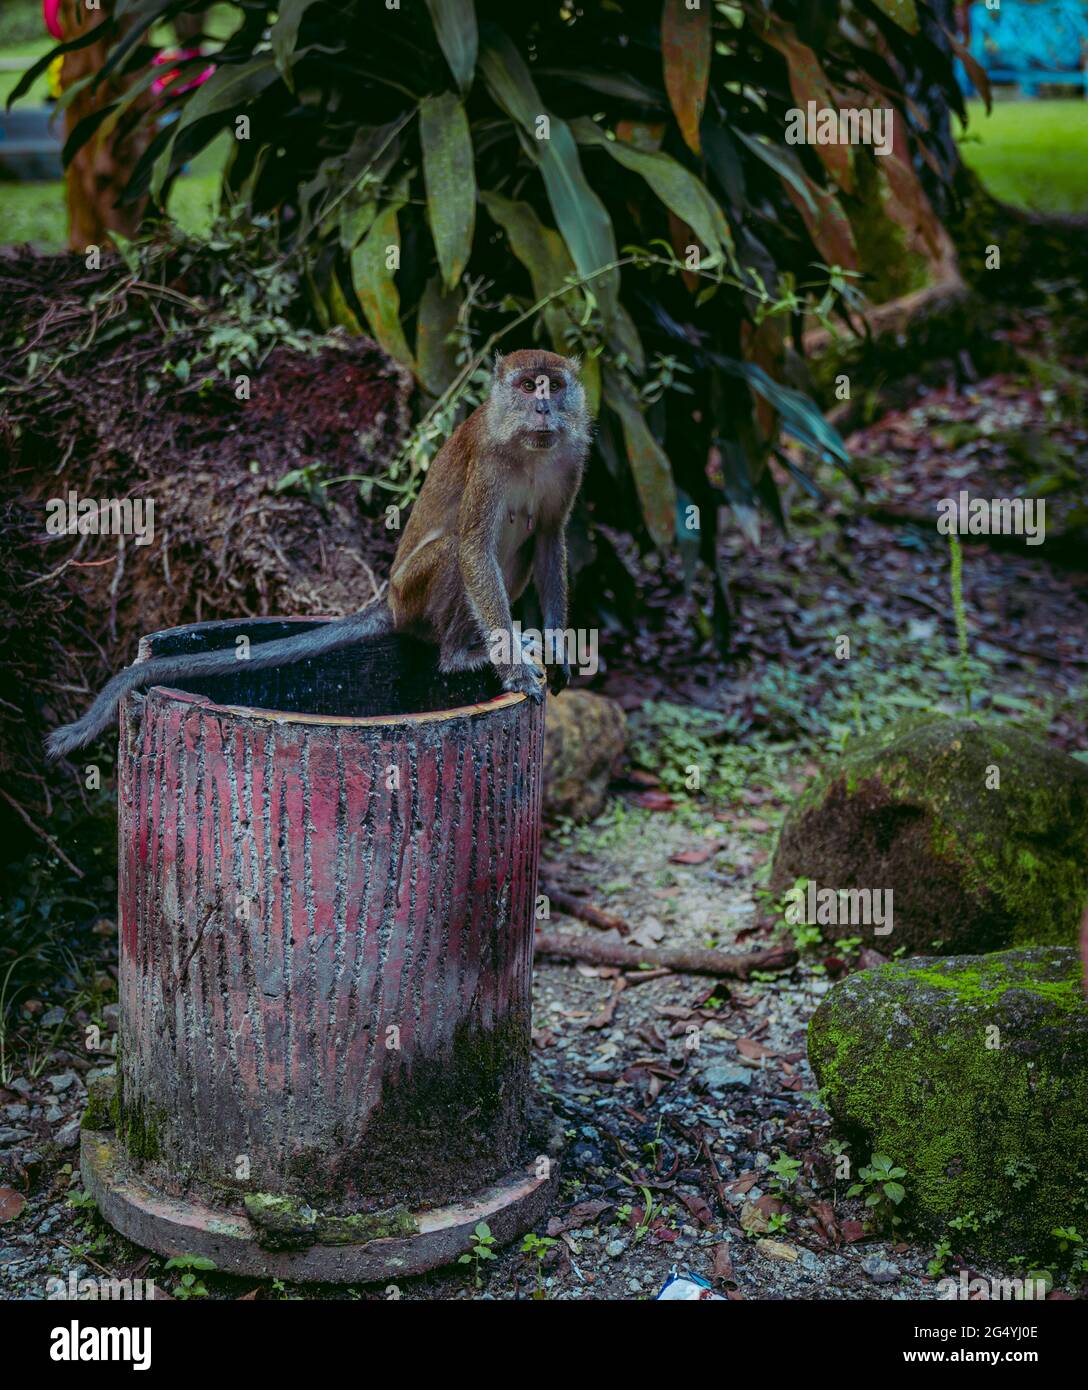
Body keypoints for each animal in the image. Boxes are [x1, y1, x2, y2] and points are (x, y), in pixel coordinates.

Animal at [46, 349, 589, 760]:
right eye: (527, 386)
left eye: (554, 385)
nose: (544, 408)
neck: (530, 450)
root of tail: (388, 601)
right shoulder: (489, 460)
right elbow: (474, 544)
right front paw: (514, 668)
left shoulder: (571, 459)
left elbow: (550, 537)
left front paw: (558, 647)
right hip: (414, 592)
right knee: (458, 548)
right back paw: (460, 657)